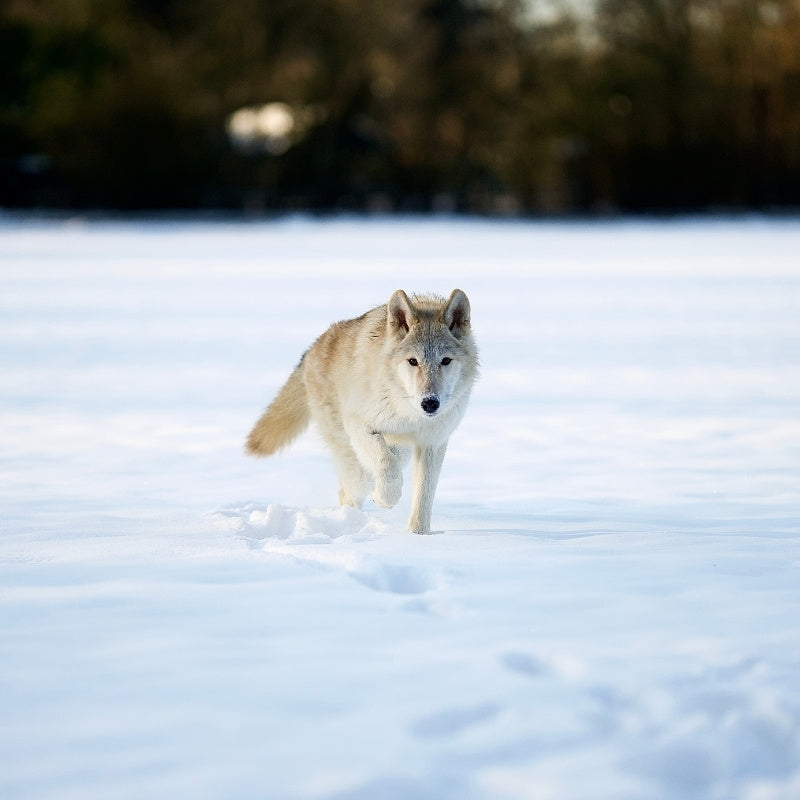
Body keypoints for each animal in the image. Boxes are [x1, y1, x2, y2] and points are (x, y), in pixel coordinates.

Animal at [246, 289, 478, 534]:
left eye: (446, 361)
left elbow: (424, 496)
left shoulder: (432, 442)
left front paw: (417, 536)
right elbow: (387, 466)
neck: (408, 412)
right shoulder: (359, 423)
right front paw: (385, 498)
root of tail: (310, 351)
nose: (430, 403)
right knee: (349, 491)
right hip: (353, 459)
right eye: (413, 361)